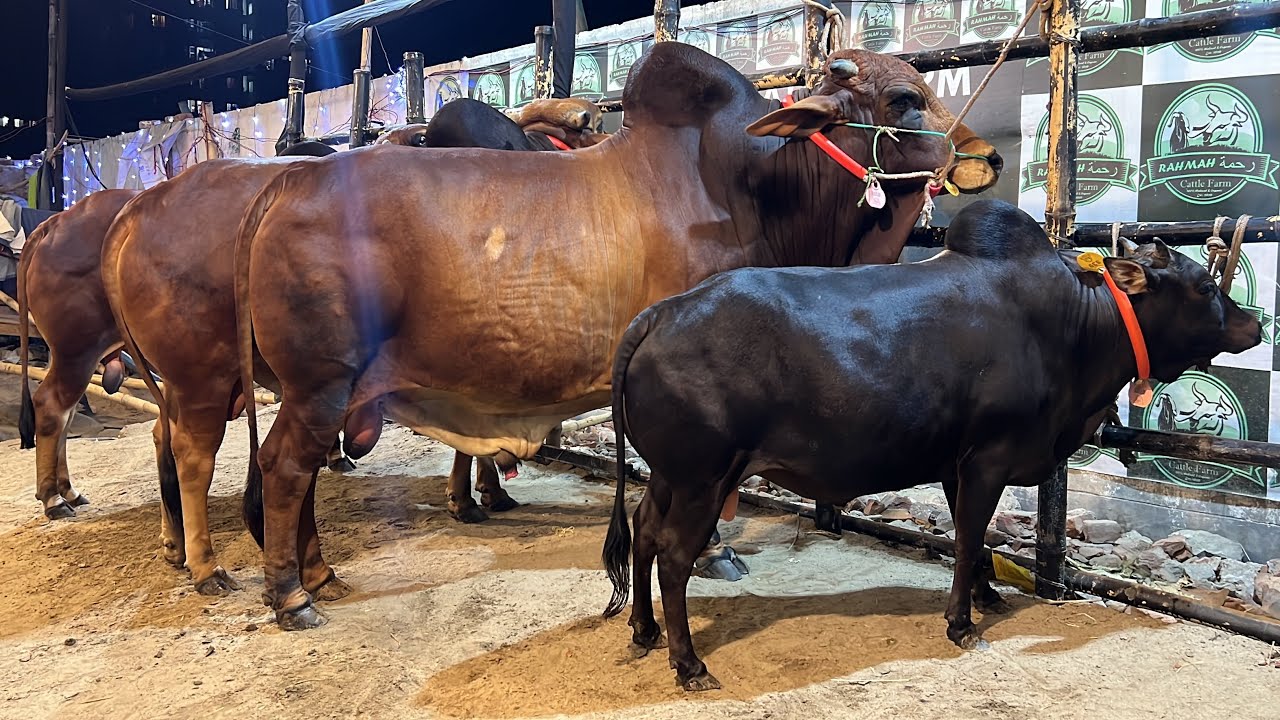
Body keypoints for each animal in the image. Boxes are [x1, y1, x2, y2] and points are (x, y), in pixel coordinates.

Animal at [100, 100, 618, 596]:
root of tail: (143, 204)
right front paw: (473, 496)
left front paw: (481, 492)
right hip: (204, 378)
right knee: (195, 456)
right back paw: (207, 565)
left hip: (188, 383)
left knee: (164, 437)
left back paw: (176, 545)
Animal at [231, 43, 1003, 629]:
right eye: (904, 99)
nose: (989, 158)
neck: (755, 187)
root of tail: (286, 187)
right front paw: (715, 551)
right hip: (320, 385)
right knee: (284, 469)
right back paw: (293, 595)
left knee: (295, 474)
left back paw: (320, 573)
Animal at [600, 198, 1262, 691]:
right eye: (1205, 287)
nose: (1255, 323)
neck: (1076, 325)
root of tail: (660, 313)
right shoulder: (990, 456)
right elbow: (969, 537)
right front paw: (961, 623)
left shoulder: (955, 461)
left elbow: (979, 543)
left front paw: (989, 597)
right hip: (703, 478)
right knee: (673, 556)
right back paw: (688, 663)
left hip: (669, 476)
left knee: (644, 530)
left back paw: (644, 631)